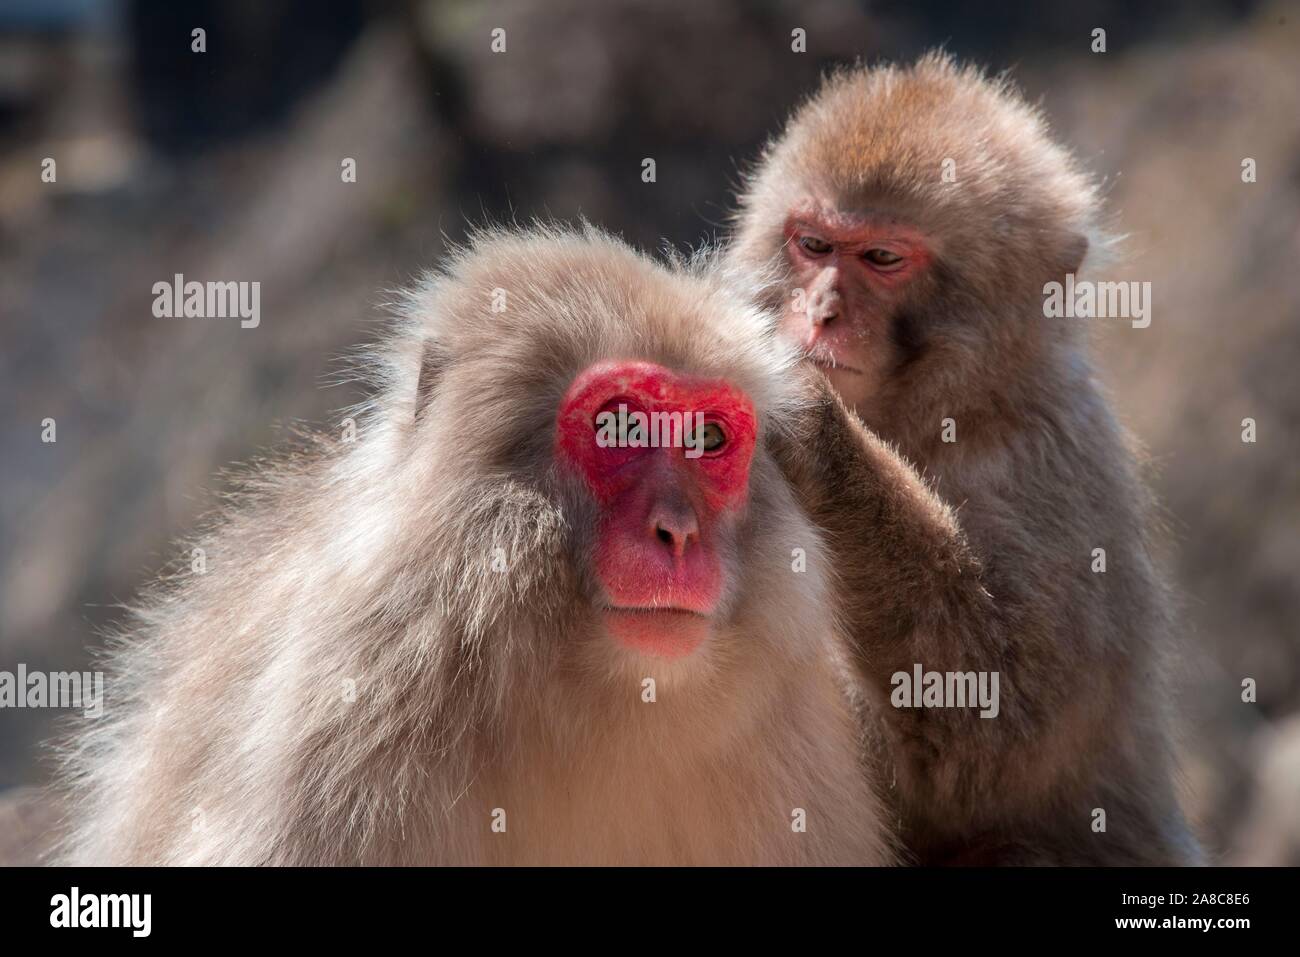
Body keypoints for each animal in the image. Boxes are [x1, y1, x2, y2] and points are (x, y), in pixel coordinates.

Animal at [726, 53, 1201, 864]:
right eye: (812, 245)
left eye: (883, 257)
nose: (820, 311)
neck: (939, 414)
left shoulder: (1050, 463)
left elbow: (998, 738)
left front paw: (818, 431)